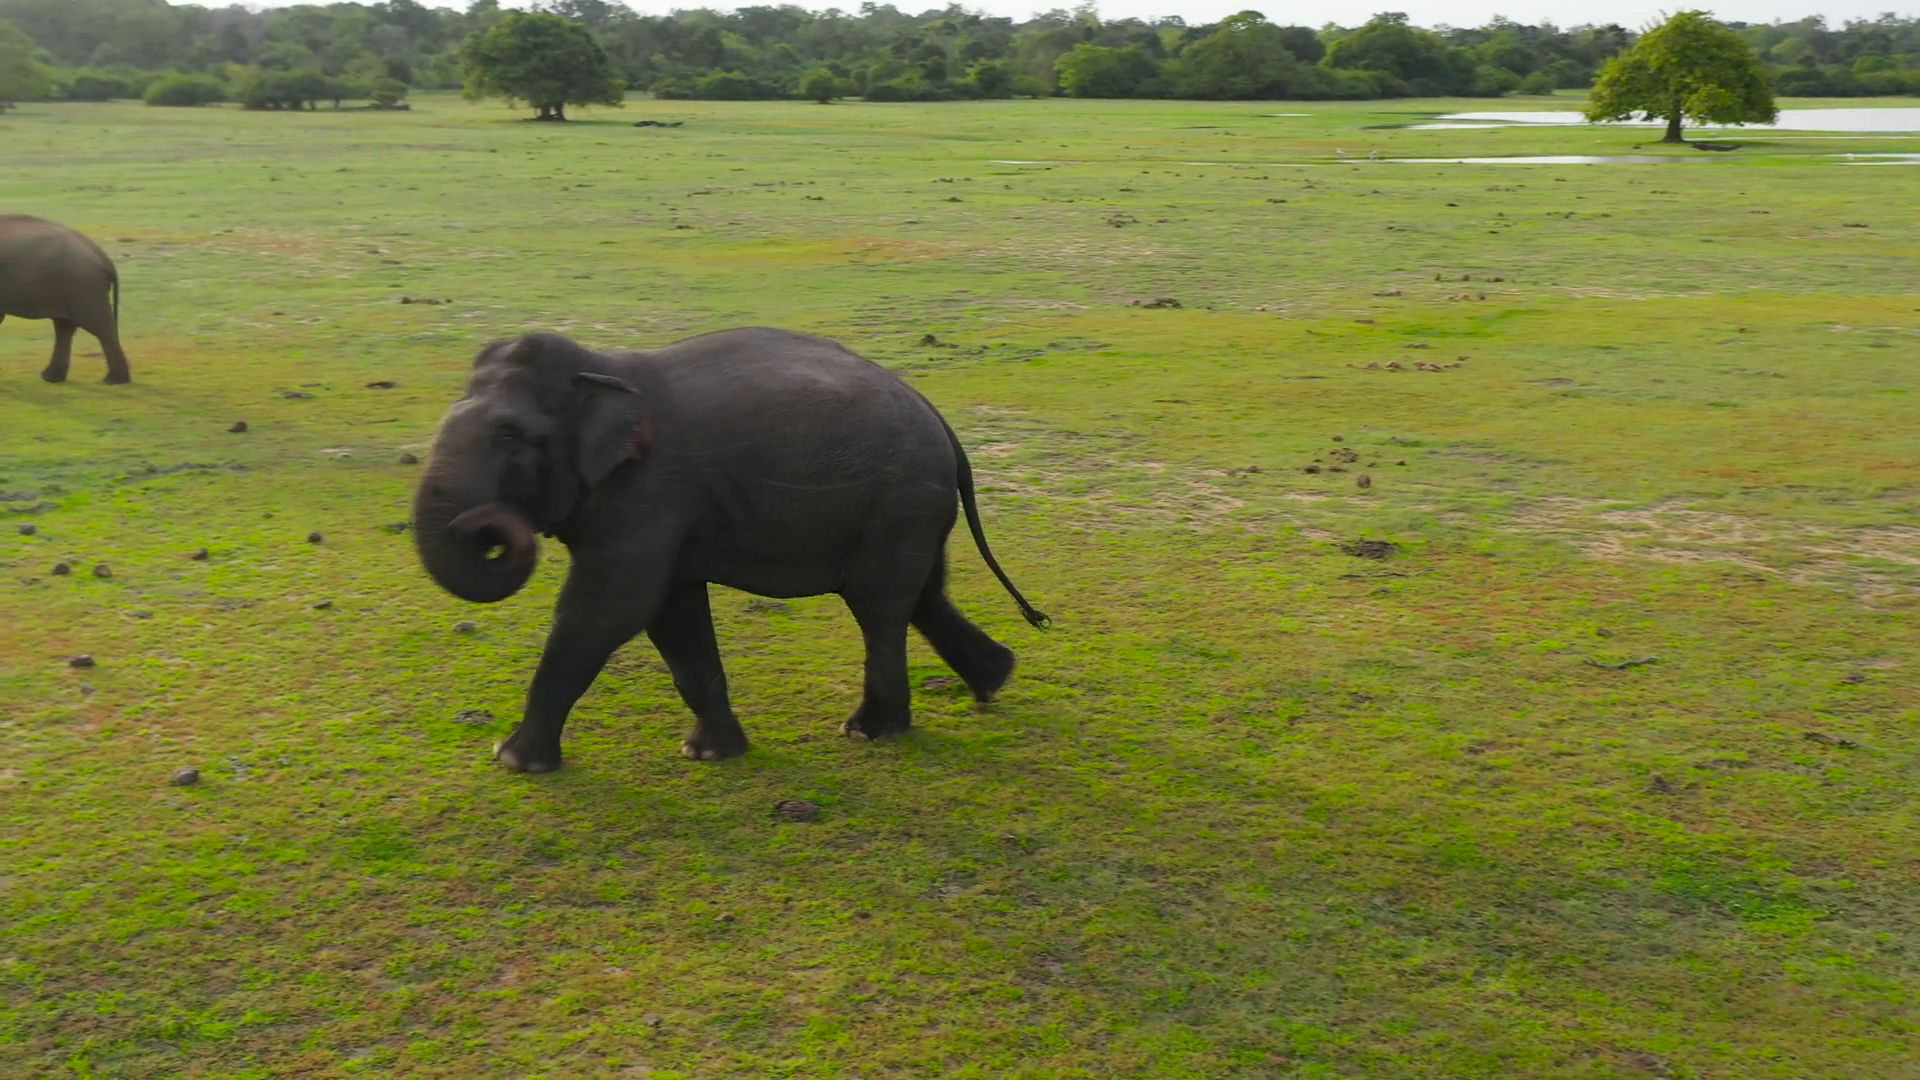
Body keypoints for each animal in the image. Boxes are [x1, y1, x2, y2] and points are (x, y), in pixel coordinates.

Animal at [0, 214, 131, 384]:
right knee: (64, 329)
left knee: (99, 327)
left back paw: (114, 380)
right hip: (72, 288)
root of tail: (103, 258)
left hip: (83, 286)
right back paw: (51, 377)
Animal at [411, 327, 1051, 773]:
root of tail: (942, 424)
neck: (604, 367)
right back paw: (993, 682)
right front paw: (711, 754)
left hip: (899, 501)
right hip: (911, 511)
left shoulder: (650, 493)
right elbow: (672, 614)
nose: (492, 526)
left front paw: (513, 761)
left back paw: (869, 731)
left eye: (511, 436)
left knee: (879, 607)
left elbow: (609, 609)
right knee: (922, 597)